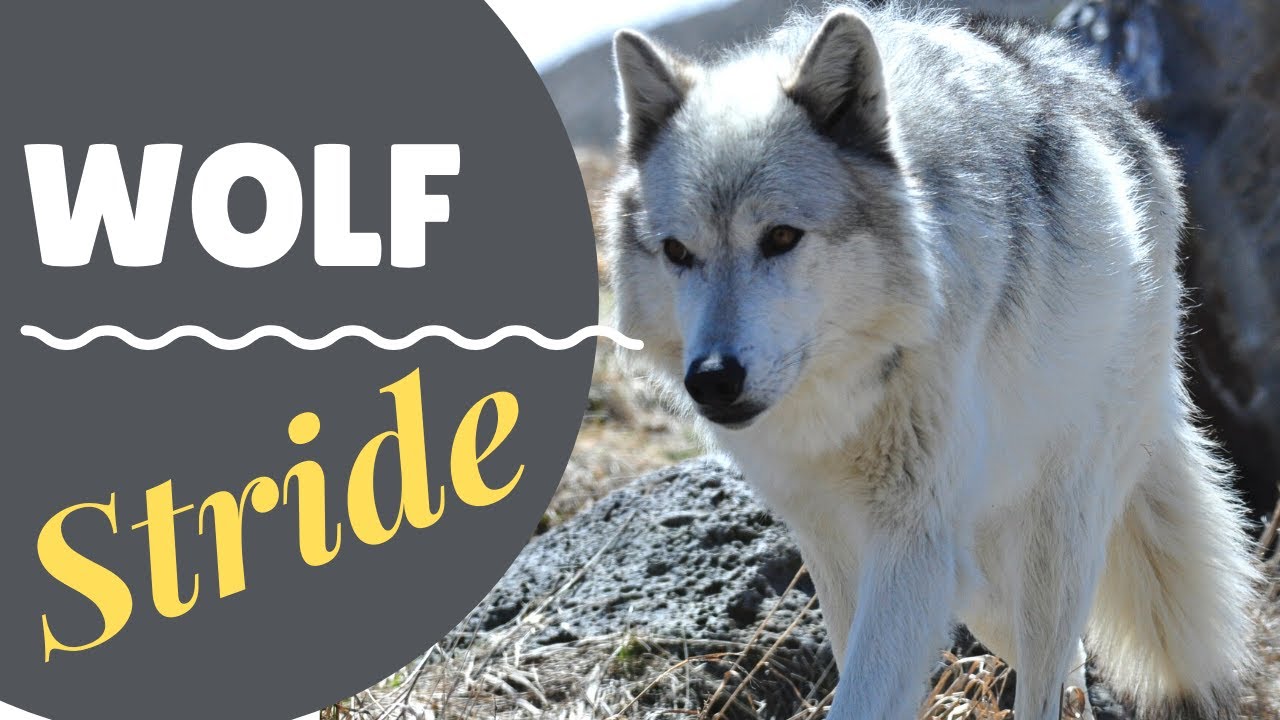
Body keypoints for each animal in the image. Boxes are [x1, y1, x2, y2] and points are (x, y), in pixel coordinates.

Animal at [603, 4, 1261, 719]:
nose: (713, 380)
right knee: (1057, 651)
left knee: (1046, 666)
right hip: (977, 557)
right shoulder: (831, 536)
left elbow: (865, 693)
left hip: (1056, 532)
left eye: (780, 236)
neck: (845, 404)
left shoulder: (911, 535)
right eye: (677, 252)